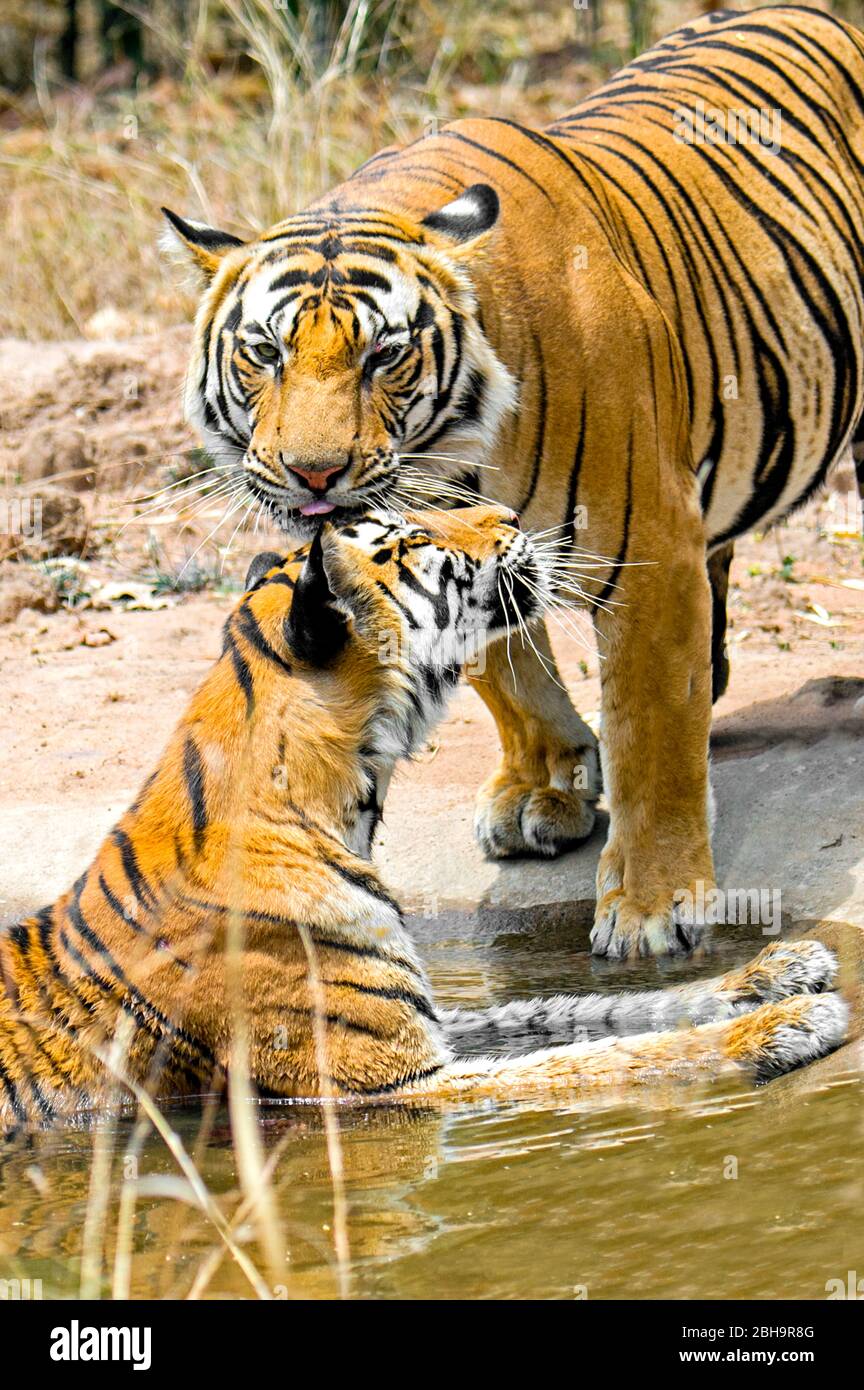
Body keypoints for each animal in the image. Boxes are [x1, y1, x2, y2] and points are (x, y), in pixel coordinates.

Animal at [0, 508, 847, 1130]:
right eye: (411, 539)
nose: (512, 513)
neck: (344, 802)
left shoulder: (424, 1020)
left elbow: (580, 1008)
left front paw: (775, 971)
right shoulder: (388, 1081)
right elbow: (594, 1060)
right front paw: (782, 1026)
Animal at [161, 5, 864, 962]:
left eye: (384, 355)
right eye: (264, 352)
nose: (315, 472)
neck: (447, 460)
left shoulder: (650, 551)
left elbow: (653, 726)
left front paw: (652, 903)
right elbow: (505, 668)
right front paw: (549, 785)